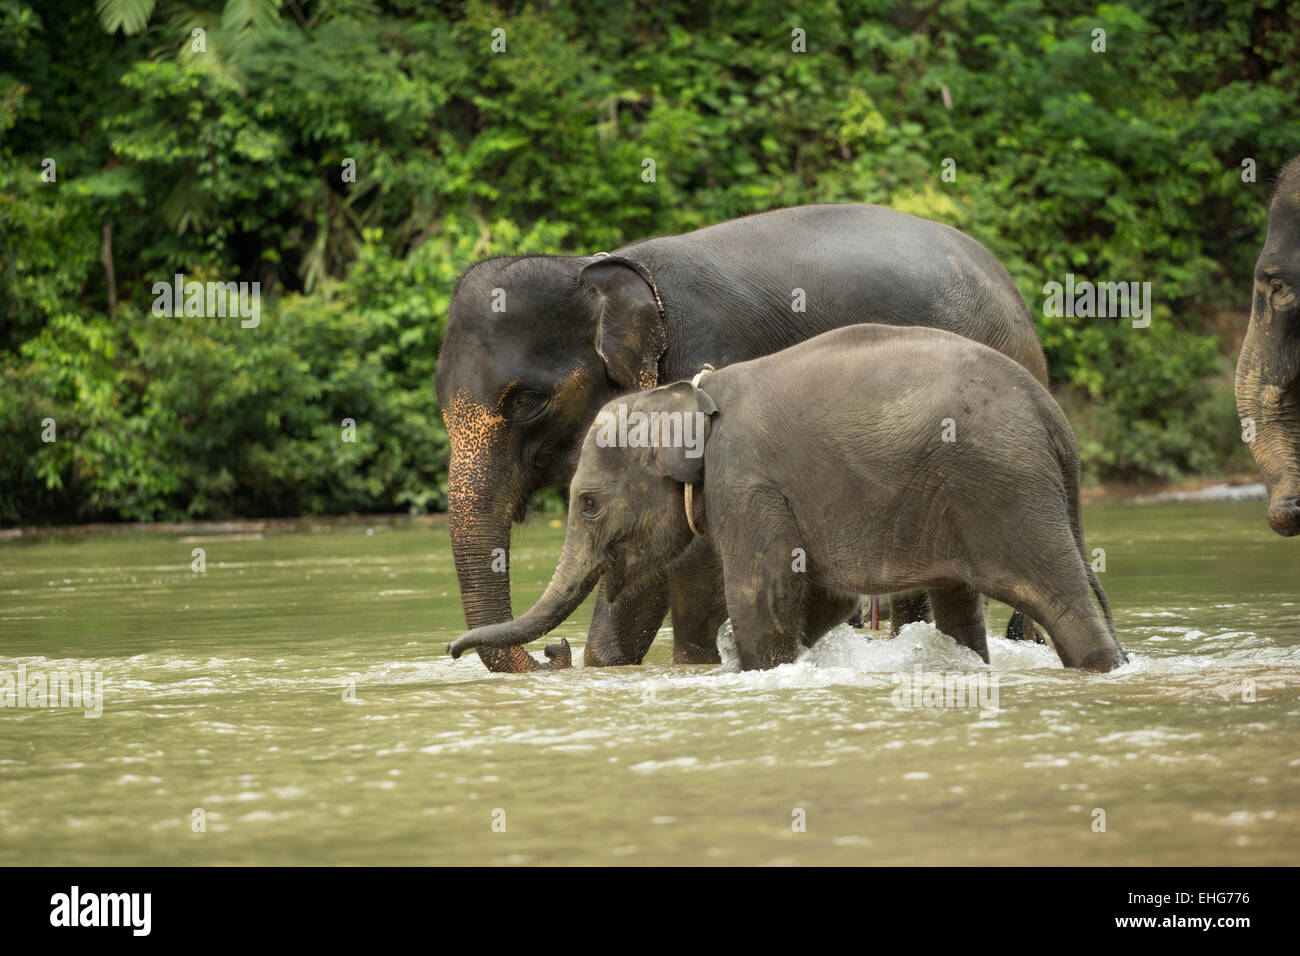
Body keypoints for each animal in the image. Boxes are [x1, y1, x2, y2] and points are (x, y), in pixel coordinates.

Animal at [448, 325, 1127, 674]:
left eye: (587, 503)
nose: (451, 649)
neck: (688, 390)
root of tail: (1053, 416)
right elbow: (822, 599)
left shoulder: (747, 482)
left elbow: (761, 598)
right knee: (960, 606)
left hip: (1006, 489)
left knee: (1061, 602)